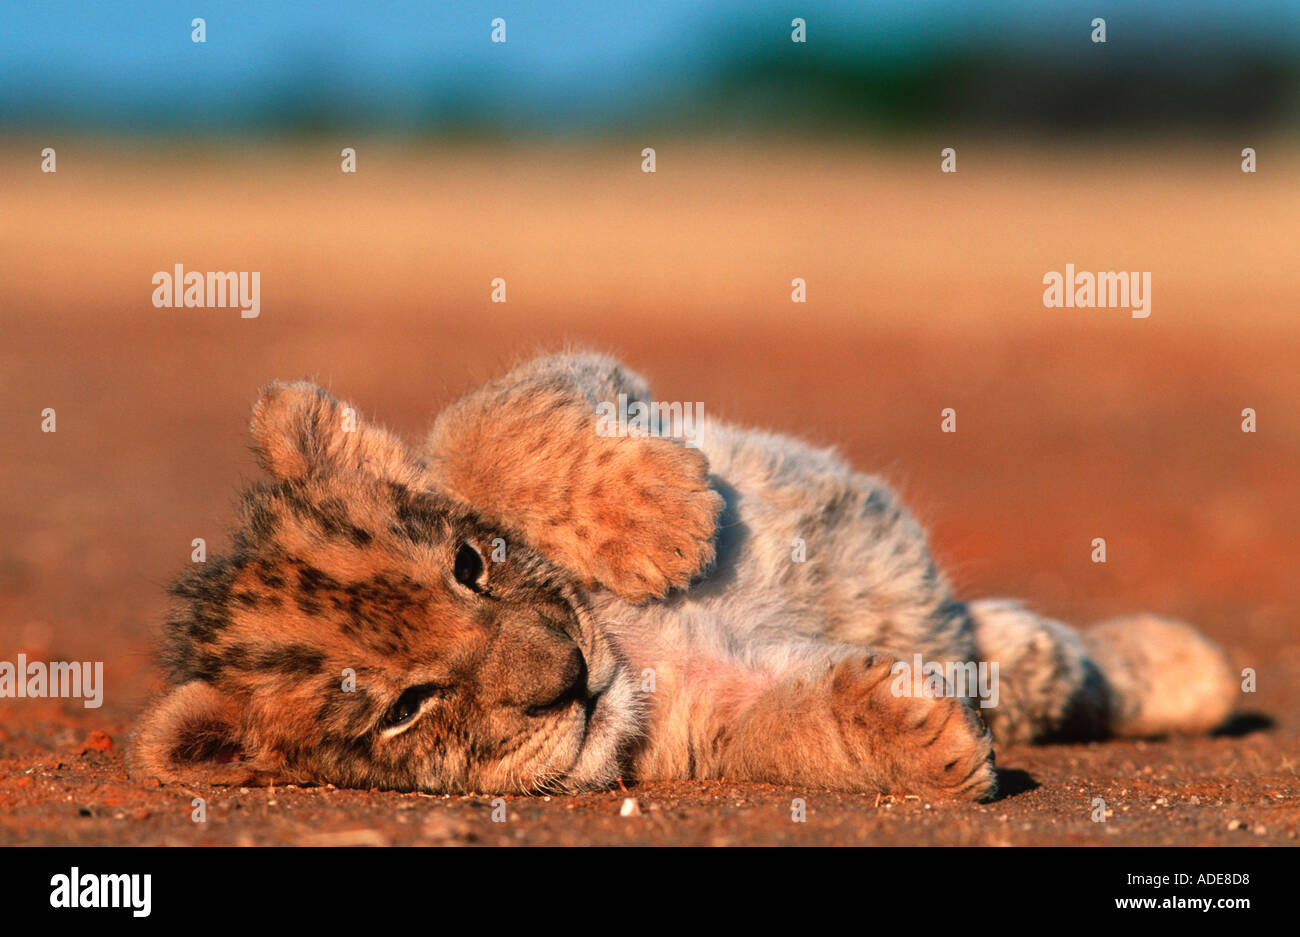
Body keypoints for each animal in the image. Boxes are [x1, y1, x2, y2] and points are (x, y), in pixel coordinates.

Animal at [128, 351, 1239, 800]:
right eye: (405, 708)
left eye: (470, 566)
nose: (568, 676)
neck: (627, 644)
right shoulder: (700, 728)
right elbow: (786, 730)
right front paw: (915, 734)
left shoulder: (595, 380)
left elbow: (479, 427)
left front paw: (659, 520)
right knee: (1034, 659)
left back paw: (1203, 669)